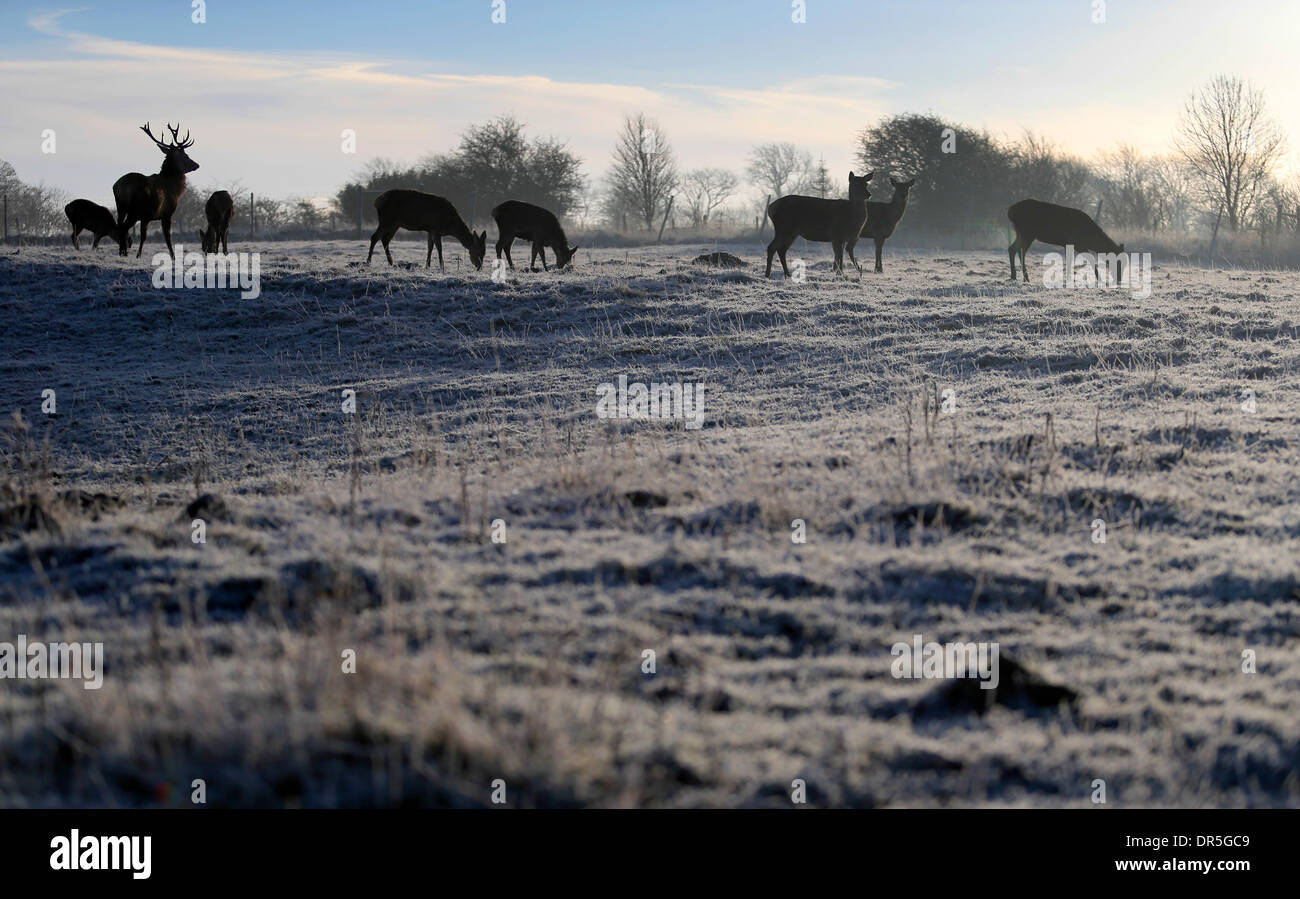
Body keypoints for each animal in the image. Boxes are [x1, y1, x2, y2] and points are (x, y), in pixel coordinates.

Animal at [113, 122, 199, 259]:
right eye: (185, 156)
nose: (197, 165)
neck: (174, 189)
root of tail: (120, 186)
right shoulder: (166, 213)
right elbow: (165, 237)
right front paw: (172, 256)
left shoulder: (146, 217)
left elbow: (144, 236)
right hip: (134, 210)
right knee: (124, 227)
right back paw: (124, 252)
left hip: (121, 207)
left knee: (120, 225)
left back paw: (122, 252)